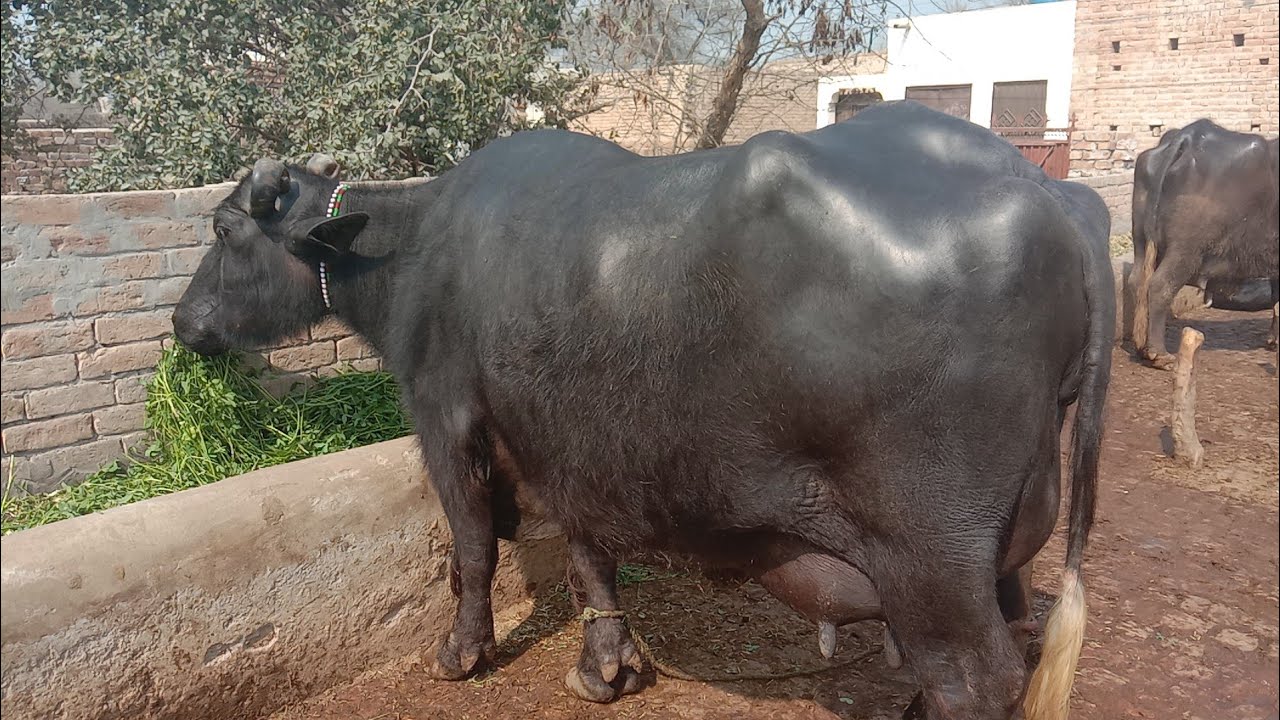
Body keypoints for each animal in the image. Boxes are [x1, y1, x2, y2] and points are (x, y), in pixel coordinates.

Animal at [173, 101, 1113, 720]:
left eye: (224, 231)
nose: (185, 323)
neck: (416, 253)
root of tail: (1054, 200)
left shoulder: (447, 419)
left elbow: (473, 548)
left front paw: (460, 653)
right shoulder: (569, 445)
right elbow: (589, 553)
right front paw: (607, 667)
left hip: (932, 557)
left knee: (971, 678)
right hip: (998, 549)